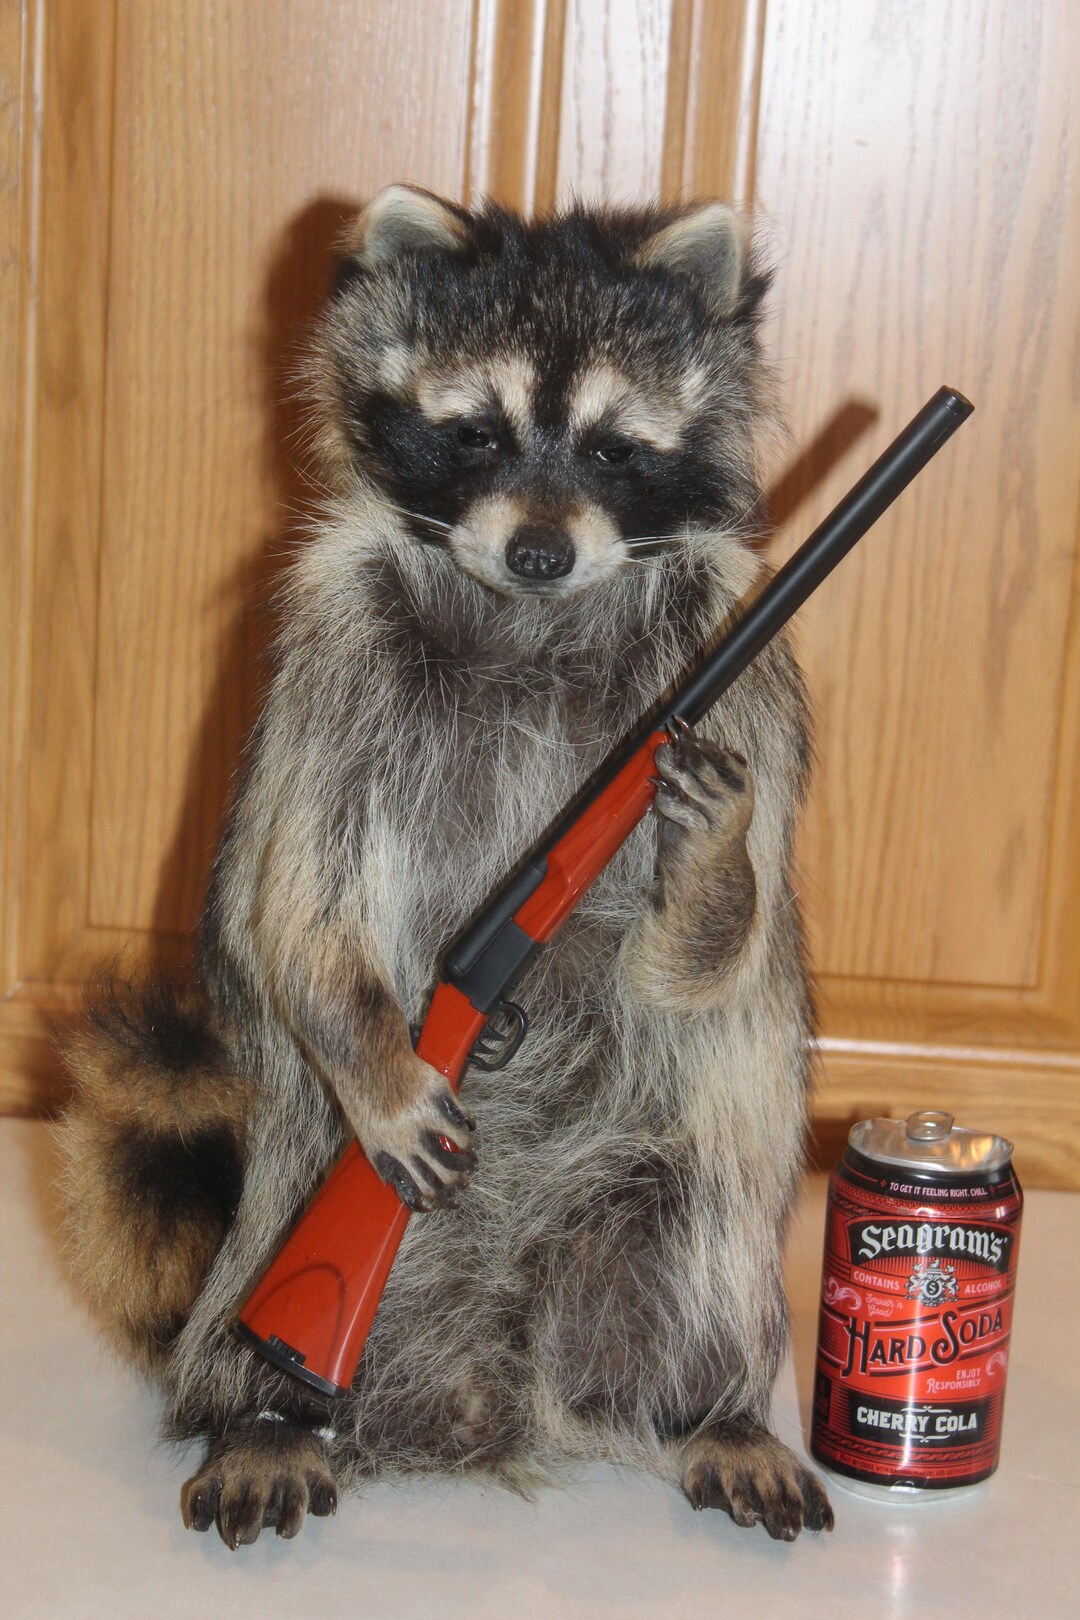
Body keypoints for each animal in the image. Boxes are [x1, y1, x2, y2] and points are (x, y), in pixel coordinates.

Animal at [60, 185, 833, 1547]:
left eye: (615, 450)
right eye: (476, 433)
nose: (538, 550)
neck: (532, 619)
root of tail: (498, 1394)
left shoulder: (743, 679)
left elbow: (707, 958)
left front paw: (714, 859)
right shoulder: (337, 644)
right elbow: (297, 902)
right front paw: (376, 1062)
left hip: (668, 1200)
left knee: (708, 1241)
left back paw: (719, 1409)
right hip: (274, 1221)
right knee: (251, 1310)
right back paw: (265, 1415)